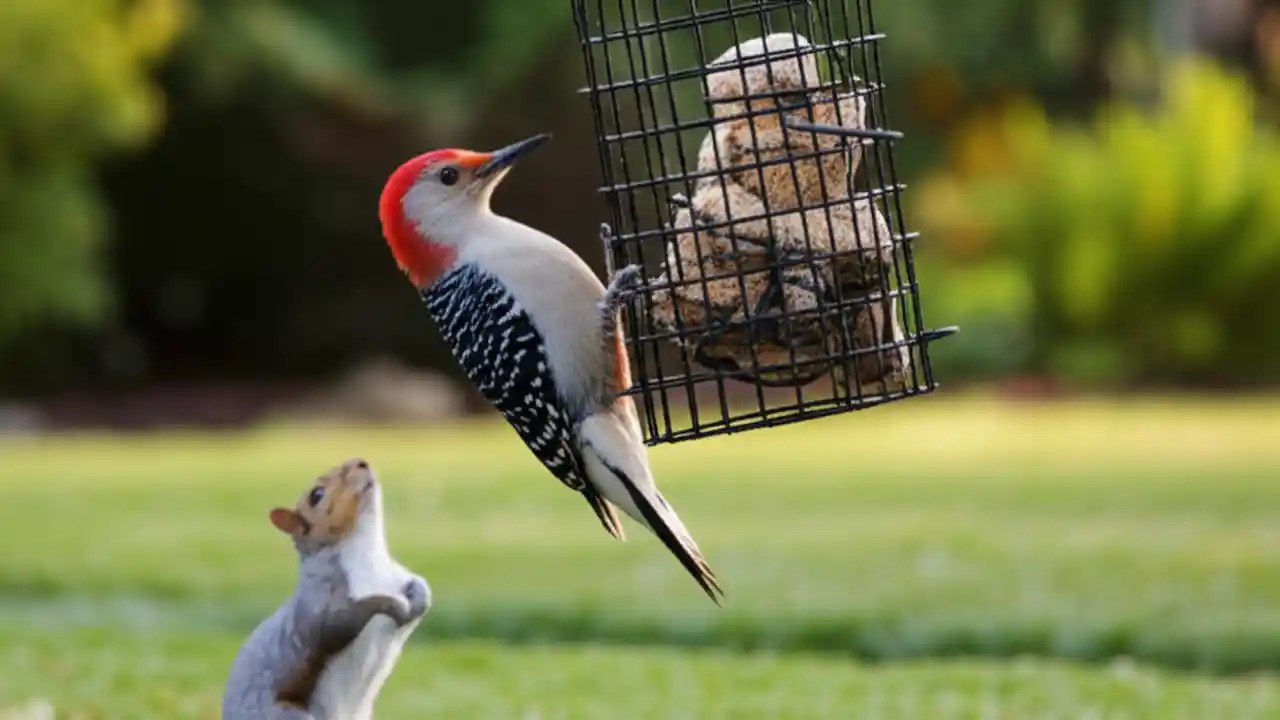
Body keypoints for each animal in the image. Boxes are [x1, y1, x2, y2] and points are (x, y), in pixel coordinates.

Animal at [222, 458, 430, 720]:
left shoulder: (396, 576)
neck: (367, 549)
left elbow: (418, 584)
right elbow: (343, 621)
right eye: (317, 495)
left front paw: (421, 597)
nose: (362, 462)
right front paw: (396, 606)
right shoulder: (324, 601)